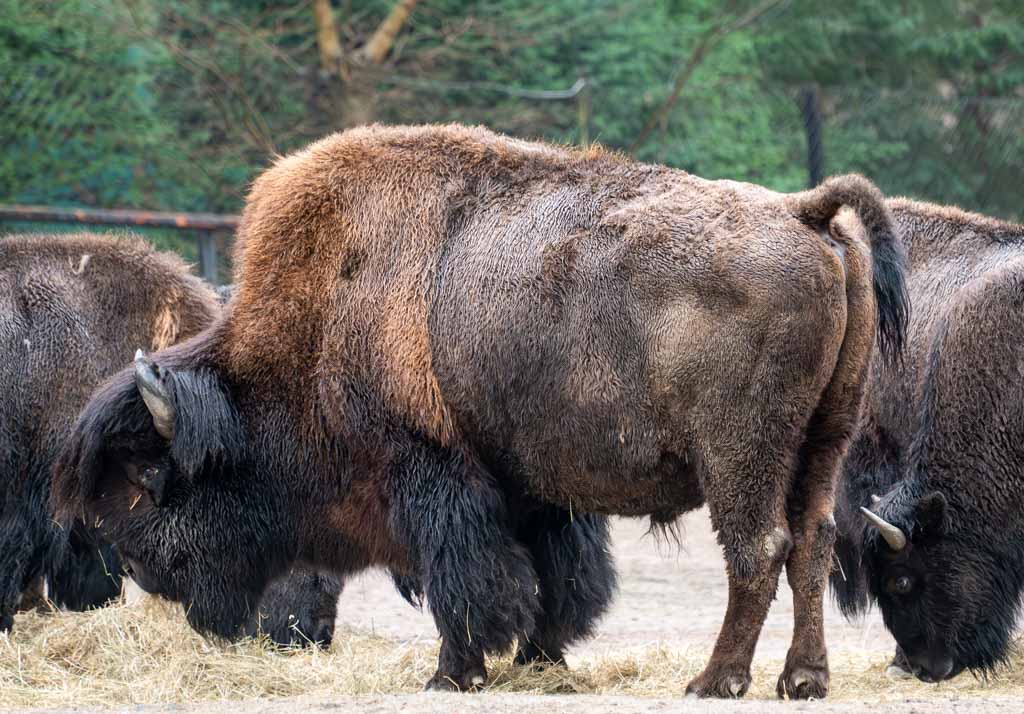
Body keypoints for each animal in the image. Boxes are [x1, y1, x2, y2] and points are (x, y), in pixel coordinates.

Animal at [53, 124, 907, 698]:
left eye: (151, 478)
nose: (139, 567)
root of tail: (804, 213)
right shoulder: (528, 486)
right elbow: (552, 578)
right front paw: (539, 658)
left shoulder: (431, 473)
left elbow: (464, 579)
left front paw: (452, 674)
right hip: (822, 443)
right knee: (812, 544)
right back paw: (804, 680)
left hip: (741, 454)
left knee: (757, 550)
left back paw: (714, 680)